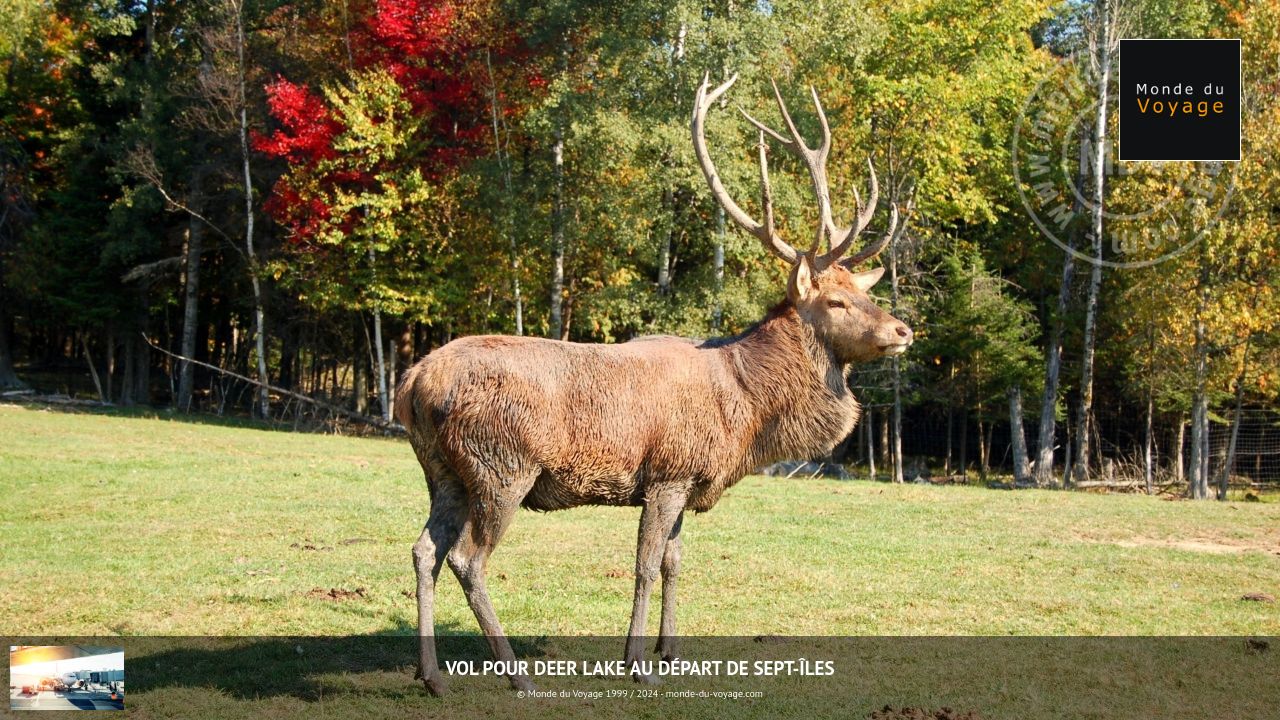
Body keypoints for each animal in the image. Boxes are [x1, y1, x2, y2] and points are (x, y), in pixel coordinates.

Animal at [399, 71, 911, 691]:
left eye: (863, 290)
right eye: (836, 301)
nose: (902, 329)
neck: (745, 409)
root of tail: (412, 383)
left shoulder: (689, 480)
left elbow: (674, 562)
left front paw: (670, 651)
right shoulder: (669, 472)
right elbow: (644, 564)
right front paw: (638, 662)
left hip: (443, 470)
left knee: (424, 547)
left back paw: (432, 673)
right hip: (502, 466)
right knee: (466, 557)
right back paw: (517, 673)